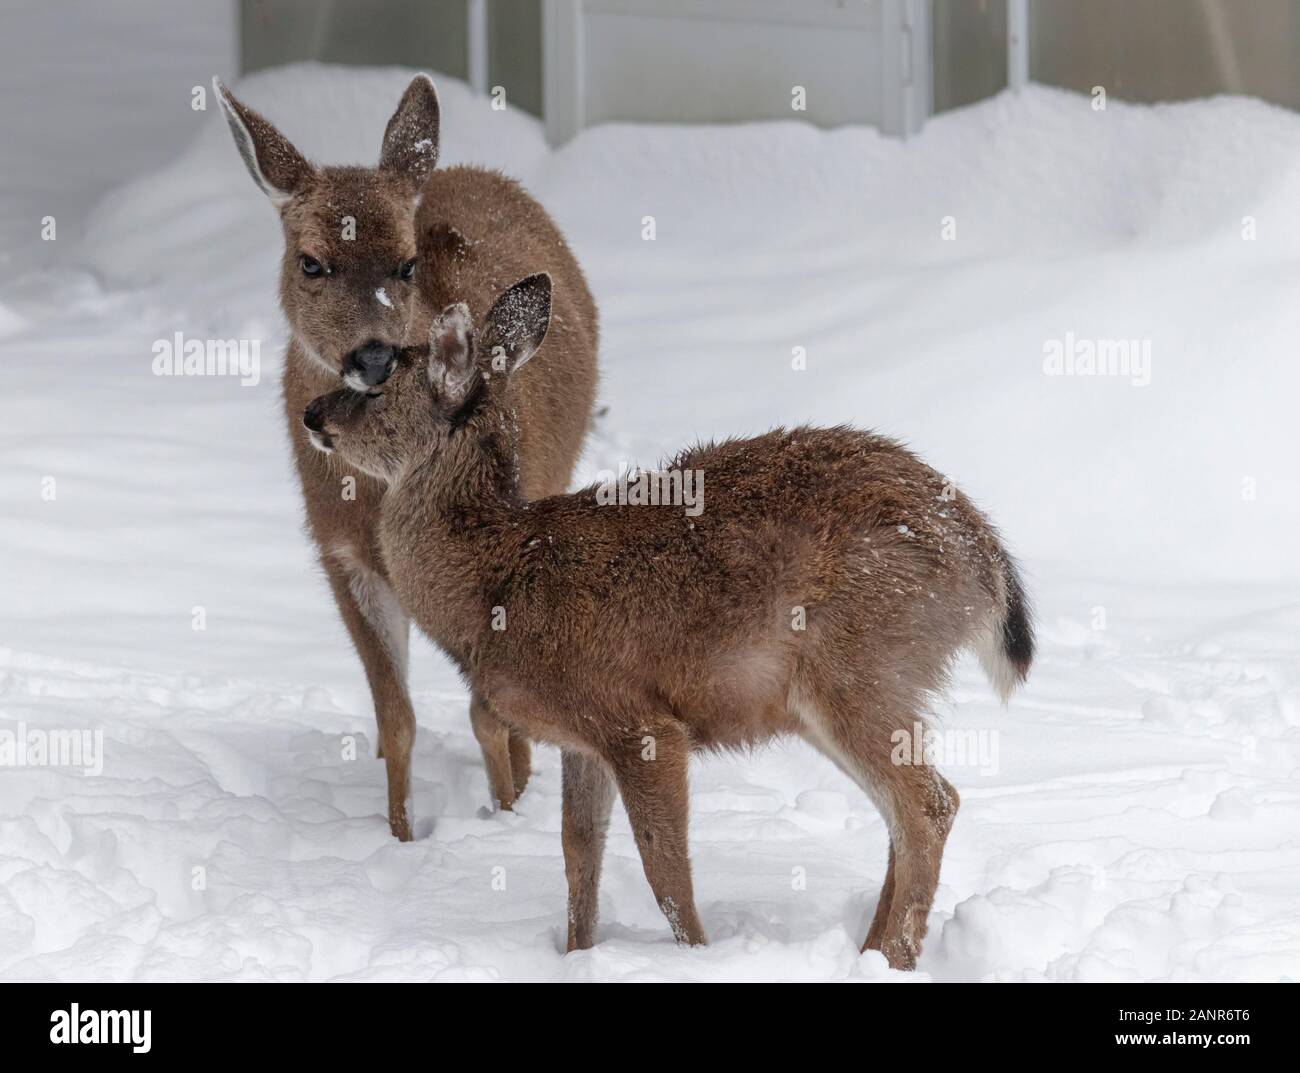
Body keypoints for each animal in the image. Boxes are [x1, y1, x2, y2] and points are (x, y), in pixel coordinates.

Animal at [213, 75, 598, 840]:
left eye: (407, 262)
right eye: (310, 261)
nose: (373, 355)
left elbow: (489, 713)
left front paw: (507, 812)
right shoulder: (342, 554)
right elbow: (397, 719)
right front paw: (400, 834)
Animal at [300, 273, 1035, 970]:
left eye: (378, 382)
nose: (310, 413)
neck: (496, 583)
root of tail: (980, 553)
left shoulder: (640, 720)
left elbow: (665, 869)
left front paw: (697, 956)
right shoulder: (579, 739)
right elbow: (579, 853)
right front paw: (578, 954)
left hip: (865, 665)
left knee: (930, 805)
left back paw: (892, 957)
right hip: (842, 691)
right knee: (904, 815)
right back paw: (868, 951)